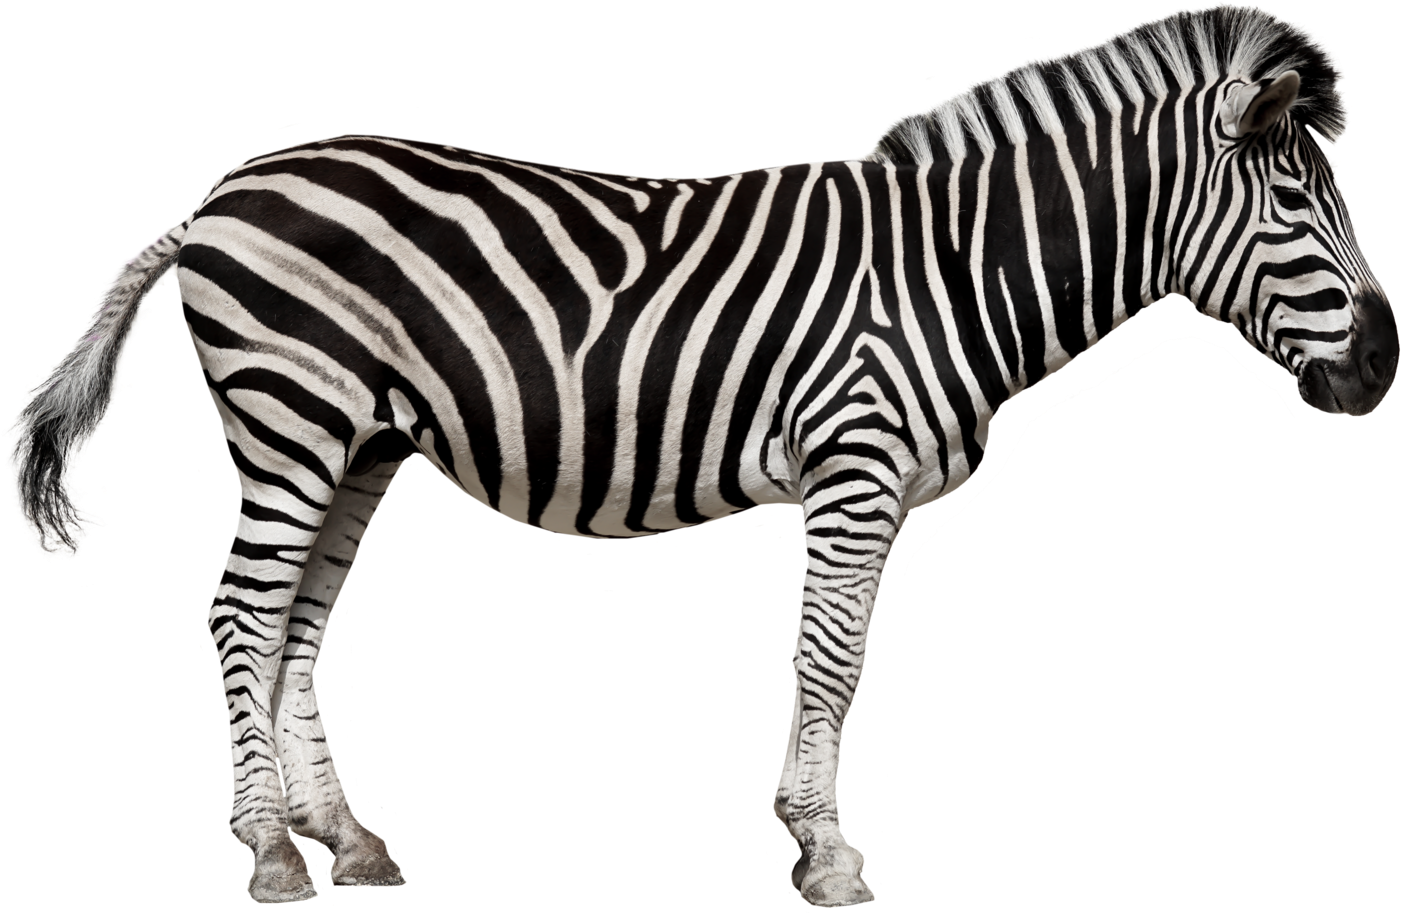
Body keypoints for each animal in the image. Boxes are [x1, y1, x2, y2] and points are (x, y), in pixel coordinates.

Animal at [4, 3, 1393, 908]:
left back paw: (345, 845)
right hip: (293, 415)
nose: (1385, 367)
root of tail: (218, 198)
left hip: (359, 443)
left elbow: (837, 665)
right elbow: (830, 666)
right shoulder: (853, 465)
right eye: (1291, 203)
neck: (956, 265)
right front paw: (824, 855)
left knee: (296, 629)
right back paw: (273, 859)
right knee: (243, 618)